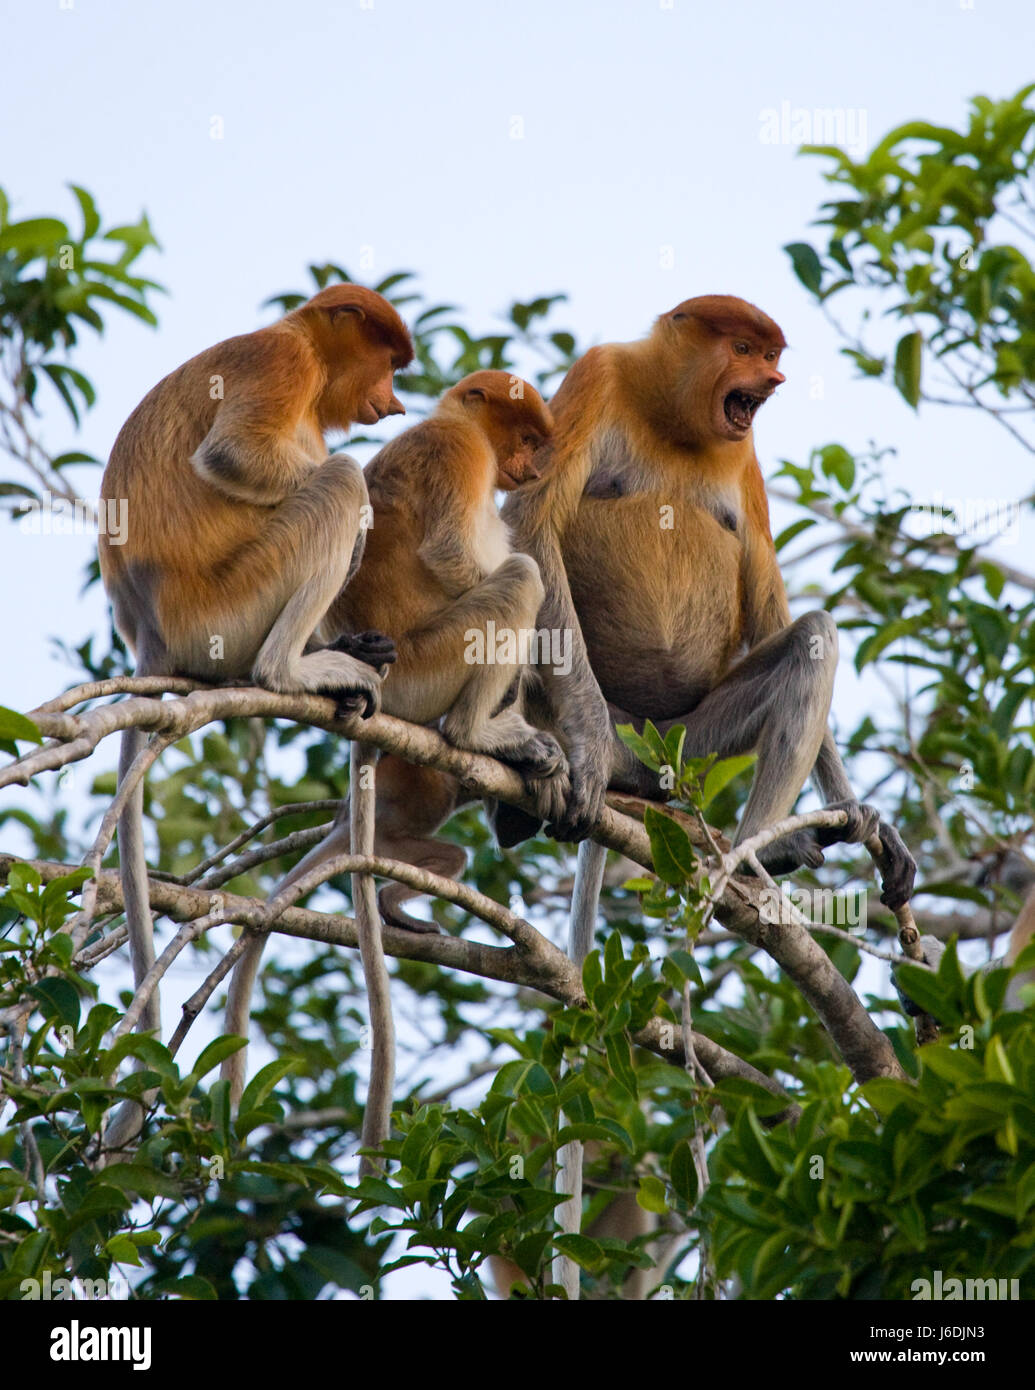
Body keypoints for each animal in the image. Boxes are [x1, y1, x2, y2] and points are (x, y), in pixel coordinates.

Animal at [98, 284, 413, 1050]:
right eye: (389, 361)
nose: (392, 401)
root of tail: (148, 629)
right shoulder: (280, 362)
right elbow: (234, 456)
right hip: (226, 609)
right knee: (338, 480)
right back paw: (291, 671)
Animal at [221, 370, 570, 1108]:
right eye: (525, 438)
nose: (530, 468)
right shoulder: (455, 453)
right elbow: (455, 558)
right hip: (428, 665)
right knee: (518, 577)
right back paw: (478, 733)